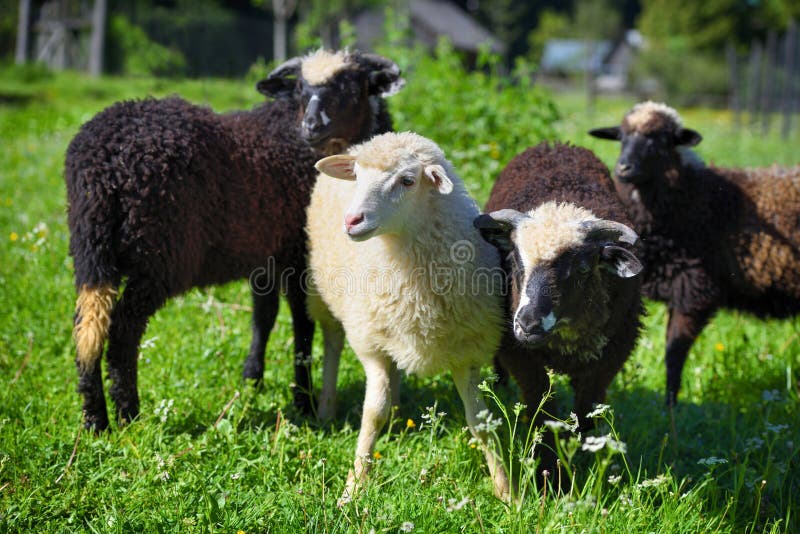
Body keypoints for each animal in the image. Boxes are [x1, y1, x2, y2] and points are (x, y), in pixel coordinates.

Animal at [67, 49, 404, 431]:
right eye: (300, 88)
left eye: (350, 86)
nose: (311, 126)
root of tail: (100, 168)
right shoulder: (296, 252)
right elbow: (302, 325)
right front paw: (302, 400)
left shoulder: (266, 253)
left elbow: (263, 316)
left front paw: (252, 379)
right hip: (158, 254)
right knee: (124, 328)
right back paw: (128, 414)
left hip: (90, 251)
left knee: (87, 327)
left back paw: (95, 419)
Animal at [308, 131, 511, 503]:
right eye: (357, 176)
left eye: (407, 180)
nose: (351, 221)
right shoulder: (371, 345)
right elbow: (372, 415)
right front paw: (354, 487)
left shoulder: (467, 353)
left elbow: (480, 422)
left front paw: (506, 490)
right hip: (322, 294)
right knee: (332, 343)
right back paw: (327, 409)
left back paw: (399, 410)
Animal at [474, 142, 644, 479]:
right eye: (514, 262)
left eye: (582, 269)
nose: (528, 325)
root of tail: (556, 145)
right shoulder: (520, 355)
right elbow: (541, 411)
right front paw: (549, 472)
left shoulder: (610, 358)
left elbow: (586, 412)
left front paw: (581, 460)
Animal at [589, 101, 800, 406]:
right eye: (621, 137)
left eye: (661, 140)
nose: (624, 168)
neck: (693, 196)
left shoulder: (696, 291)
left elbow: (673, 355)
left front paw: (670, 407)